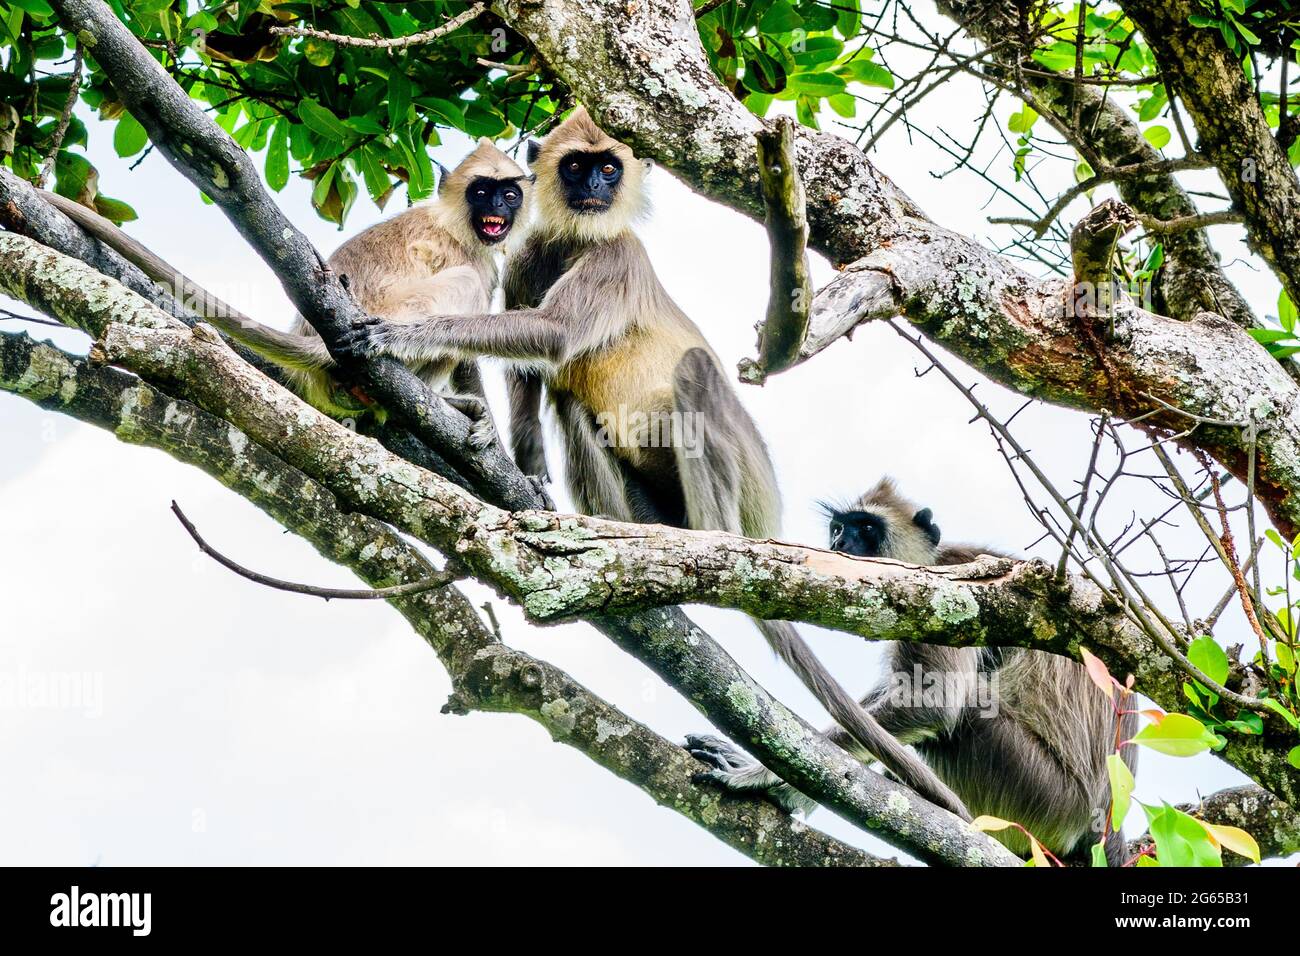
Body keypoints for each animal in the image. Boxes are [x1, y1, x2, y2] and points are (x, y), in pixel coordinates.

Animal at [37, 137, 532, 433]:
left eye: (509, 194)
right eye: (482, 192)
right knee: (459, 293)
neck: (454, 220)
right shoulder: (476, 258)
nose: (498, 209)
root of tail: (316, 337)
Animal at [334, 107, 971, 820]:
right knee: (571, 397)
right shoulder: (526, 257)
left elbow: (553, 335)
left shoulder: (618, 257)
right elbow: (533, 365)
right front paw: (524, 471)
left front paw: (402, 336)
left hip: (747, 484)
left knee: (690, 371)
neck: (577, 241)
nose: (595, 189)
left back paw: (709, 542)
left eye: (609, 167)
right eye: (577, 166)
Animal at [687, 477, 1140, 865]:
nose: (839, 541)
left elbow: (933, 704)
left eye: (867, 527)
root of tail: (1105, 824)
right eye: (839, 527)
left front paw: (759, 774)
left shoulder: (950, 597)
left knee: (969, 709)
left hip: (1042, 796)